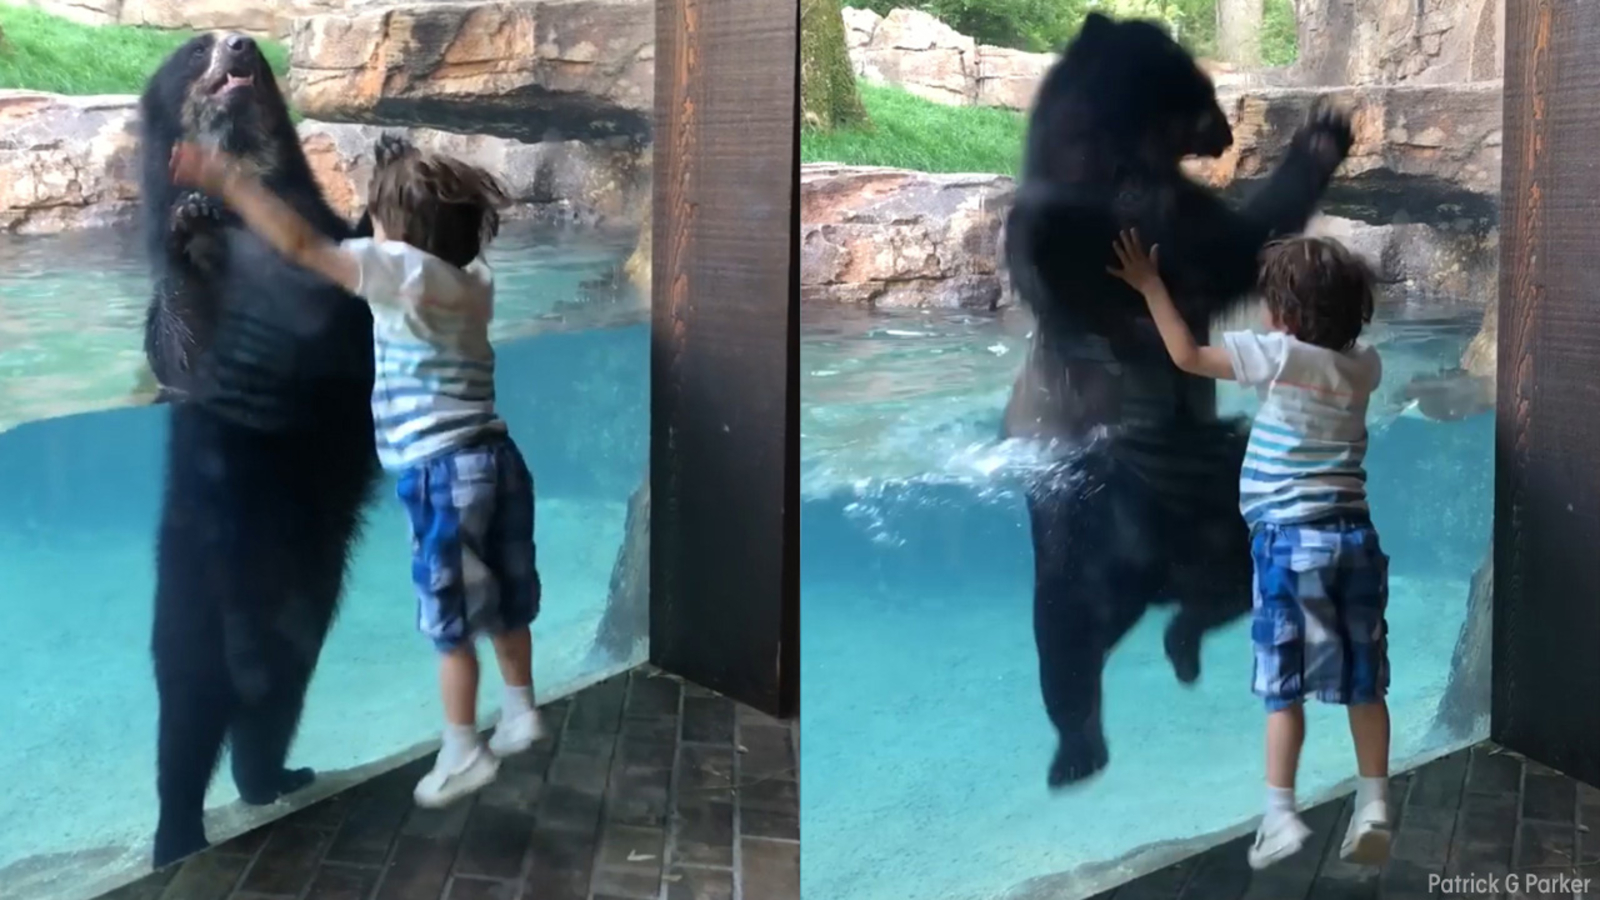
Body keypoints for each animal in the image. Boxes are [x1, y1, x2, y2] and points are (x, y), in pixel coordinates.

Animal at [138, 32, 380, 867]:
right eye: (192, 50)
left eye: (247, 45)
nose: (241, 43)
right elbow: (176, 351)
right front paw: (187, 226)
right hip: (190, 606)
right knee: (185, 727)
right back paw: (176, 841)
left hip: (307, 612)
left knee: (269, 708)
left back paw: (279, 779)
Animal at [1000, 12, 1353, 789]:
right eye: (1203, 95)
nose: (1226, 131)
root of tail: (1148, 583)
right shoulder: (1116, 225)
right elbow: (1209, 251)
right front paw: (1322, 133)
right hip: (1075, 542)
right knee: (1065, 643)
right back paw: (1078, 753)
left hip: (1213, 522)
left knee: (1227, 584)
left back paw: (1181, 644)